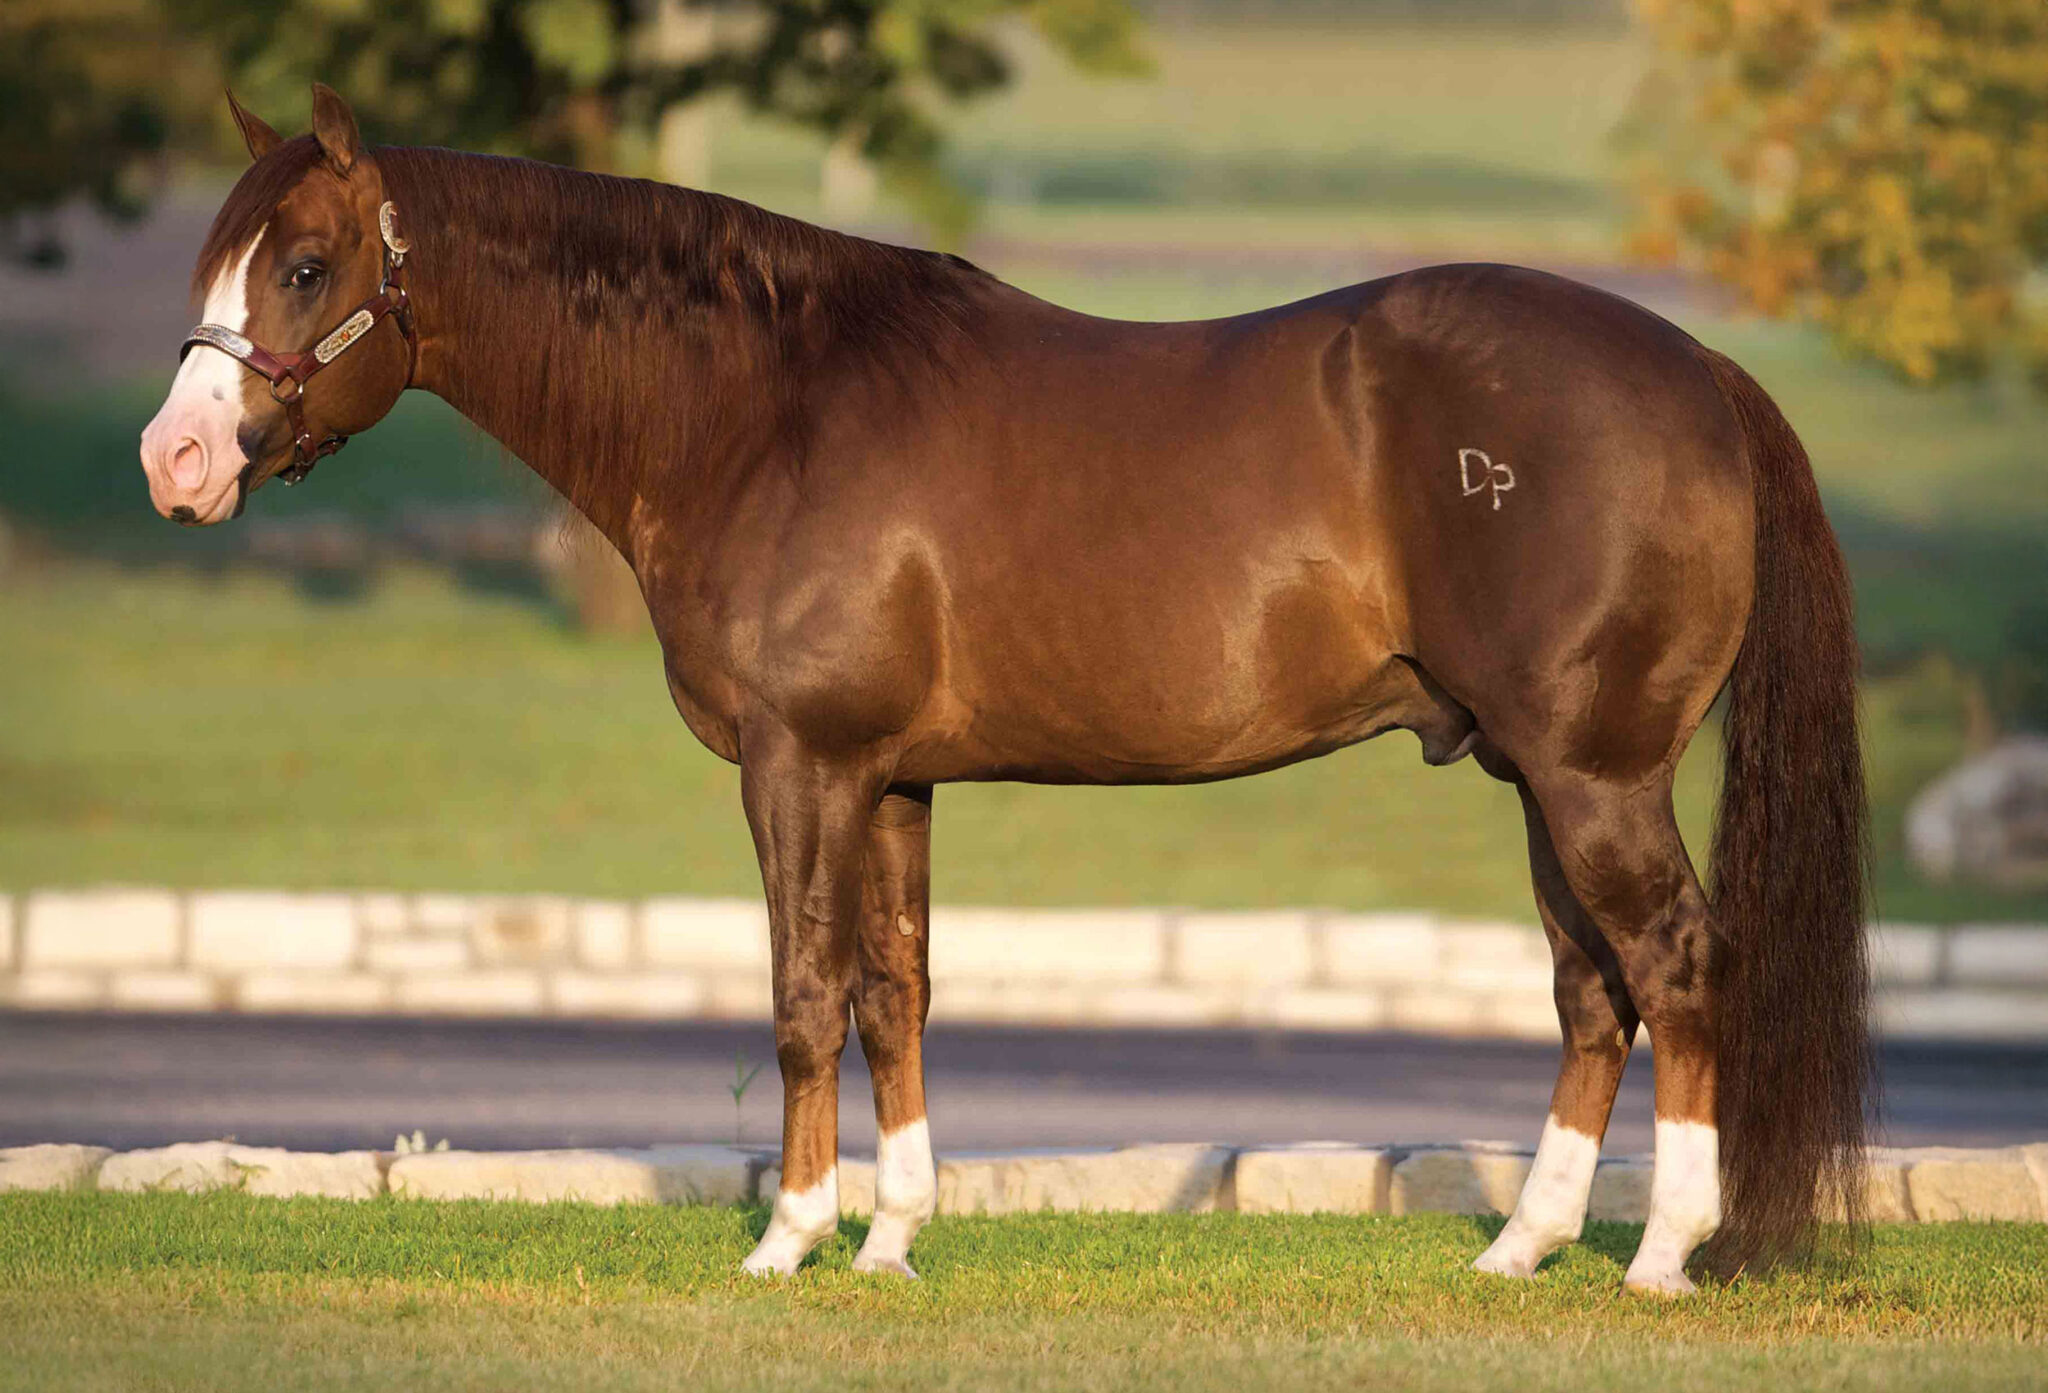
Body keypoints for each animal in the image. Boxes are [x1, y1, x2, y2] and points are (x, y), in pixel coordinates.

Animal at [140, 85, 1872, 1292]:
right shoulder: (894, 776)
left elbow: (802, 997)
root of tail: (1699, 373)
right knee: (1595, 991)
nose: (178, 462)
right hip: (1539, 772)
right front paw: (895, 1240)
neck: (763, 407)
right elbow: (895, 993)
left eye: (307, 265)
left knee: (1679, 965)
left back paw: (1664, 1256)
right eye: (216, 262)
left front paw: (787, 1242)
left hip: (1595, 773)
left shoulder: (799, 763)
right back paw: (1519, 1250)